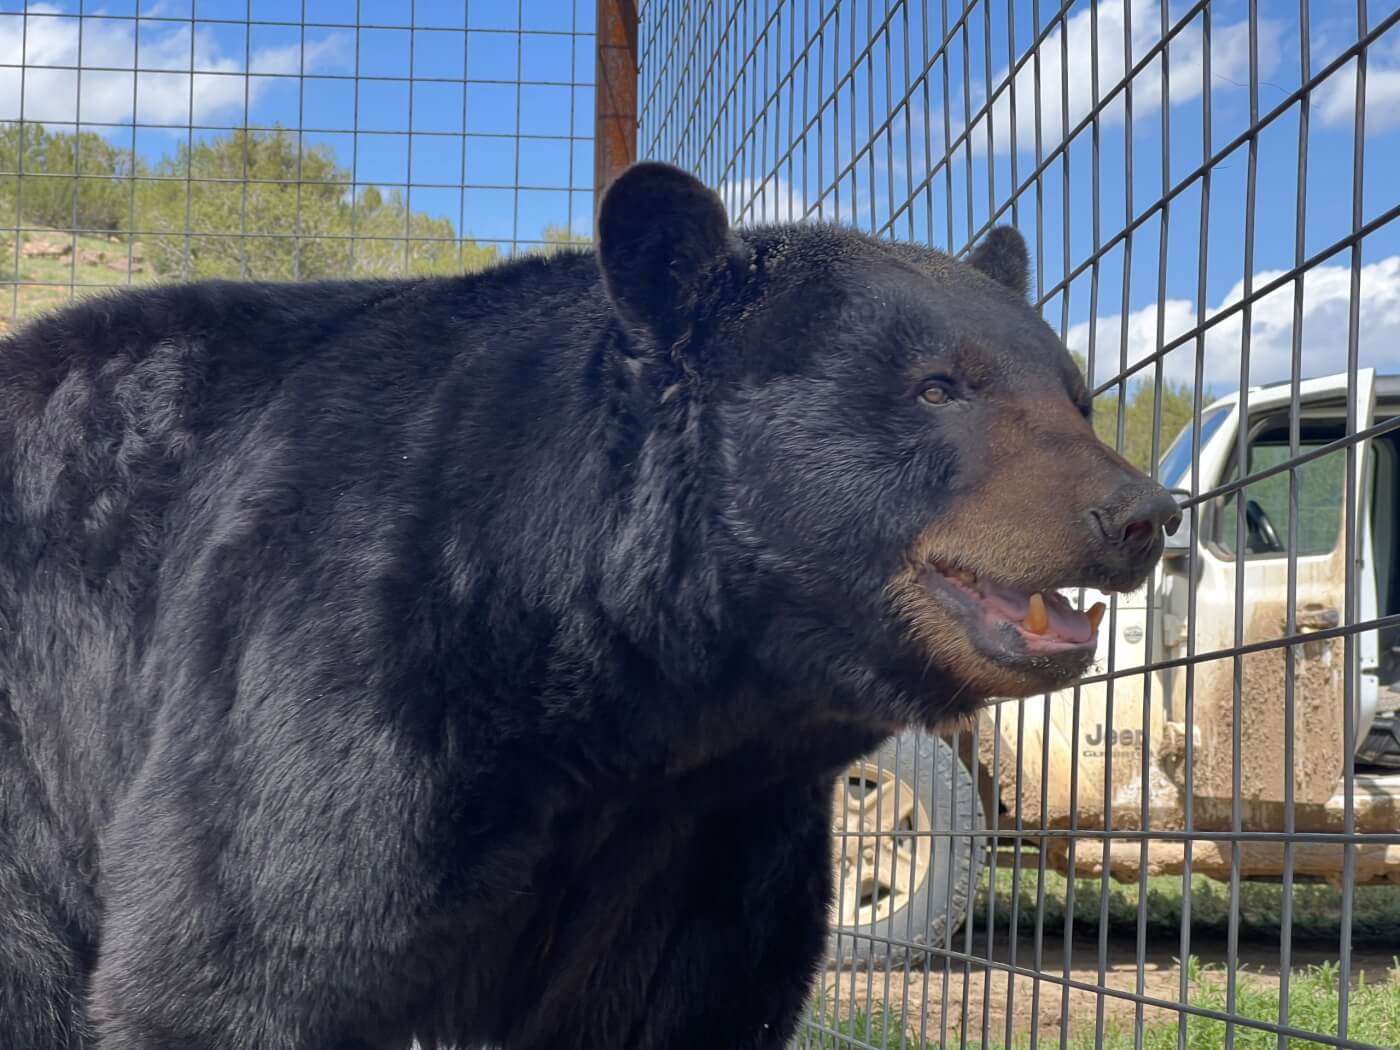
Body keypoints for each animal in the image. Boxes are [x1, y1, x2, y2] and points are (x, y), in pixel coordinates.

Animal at [0, 161, 1180, 1049]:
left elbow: (680, 1000)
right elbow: (239, 954)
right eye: (939, 387)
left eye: (1074, 396)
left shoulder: (705, 838)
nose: (1135, 513)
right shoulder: (346, 655)